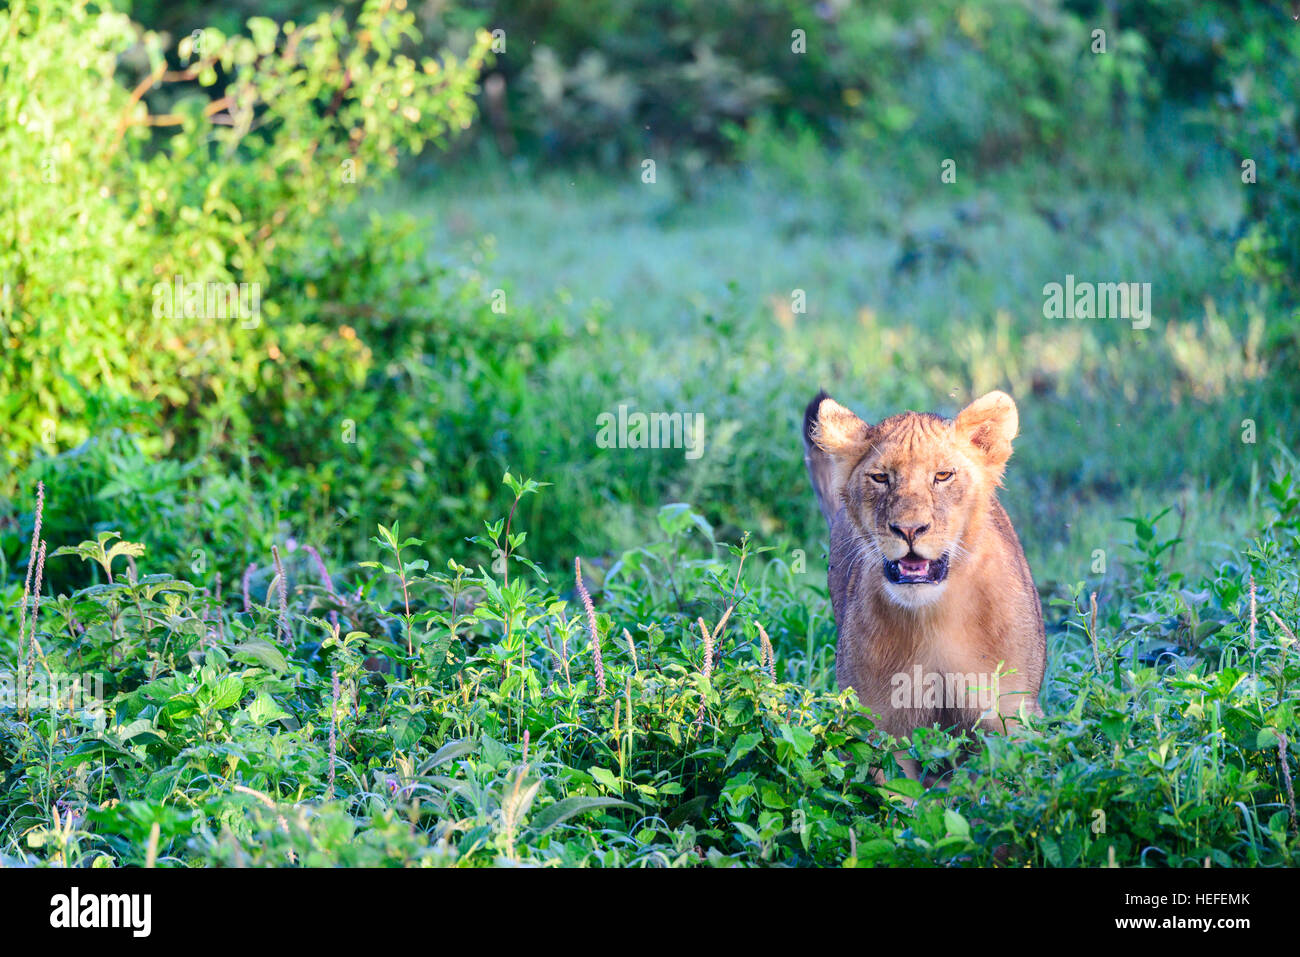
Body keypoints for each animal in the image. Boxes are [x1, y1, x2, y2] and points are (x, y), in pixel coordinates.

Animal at [803, 389, 1045, 778]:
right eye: (880, 477)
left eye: (943, 475)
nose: (909, 529)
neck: (932, 618)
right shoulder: (879, 730)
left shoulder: (1012, 718)